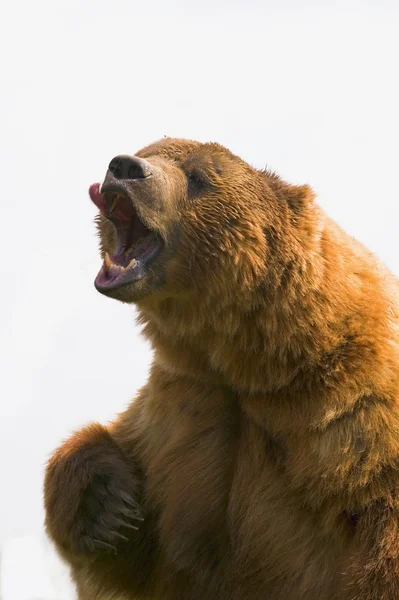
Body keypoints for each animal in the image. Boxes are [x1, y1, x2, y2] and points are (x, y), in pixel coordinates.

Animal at [43, 138, 399, 596]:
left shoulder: (354, 421)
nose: (124, 167)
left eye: (199, 177)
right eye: (149, 149)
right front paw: (107, 504)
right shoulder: (187, 404)